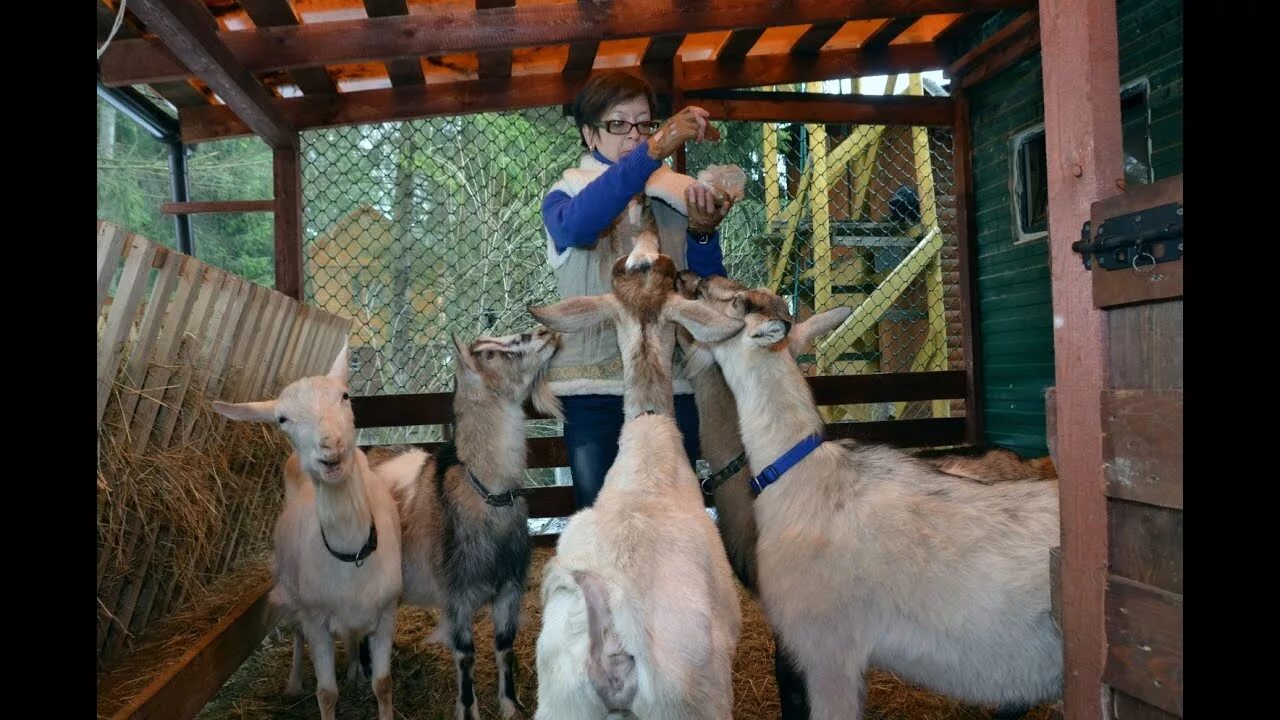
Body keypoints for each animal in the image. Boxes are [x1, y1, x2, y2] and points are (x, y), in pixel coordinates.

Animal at [211, 340, 399, 717]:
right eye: (282, 419)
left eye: (345, 395)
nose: (330, 446)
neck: (350, 555)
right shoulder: (317, 622)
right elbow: (326, 693)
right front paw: (321, 689)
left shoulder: (385, 614)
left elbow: (383, 685)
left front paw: (364, 679)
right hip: (290, 593)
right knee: (297, 634)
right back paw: (294, 682)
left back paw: (354, 670)